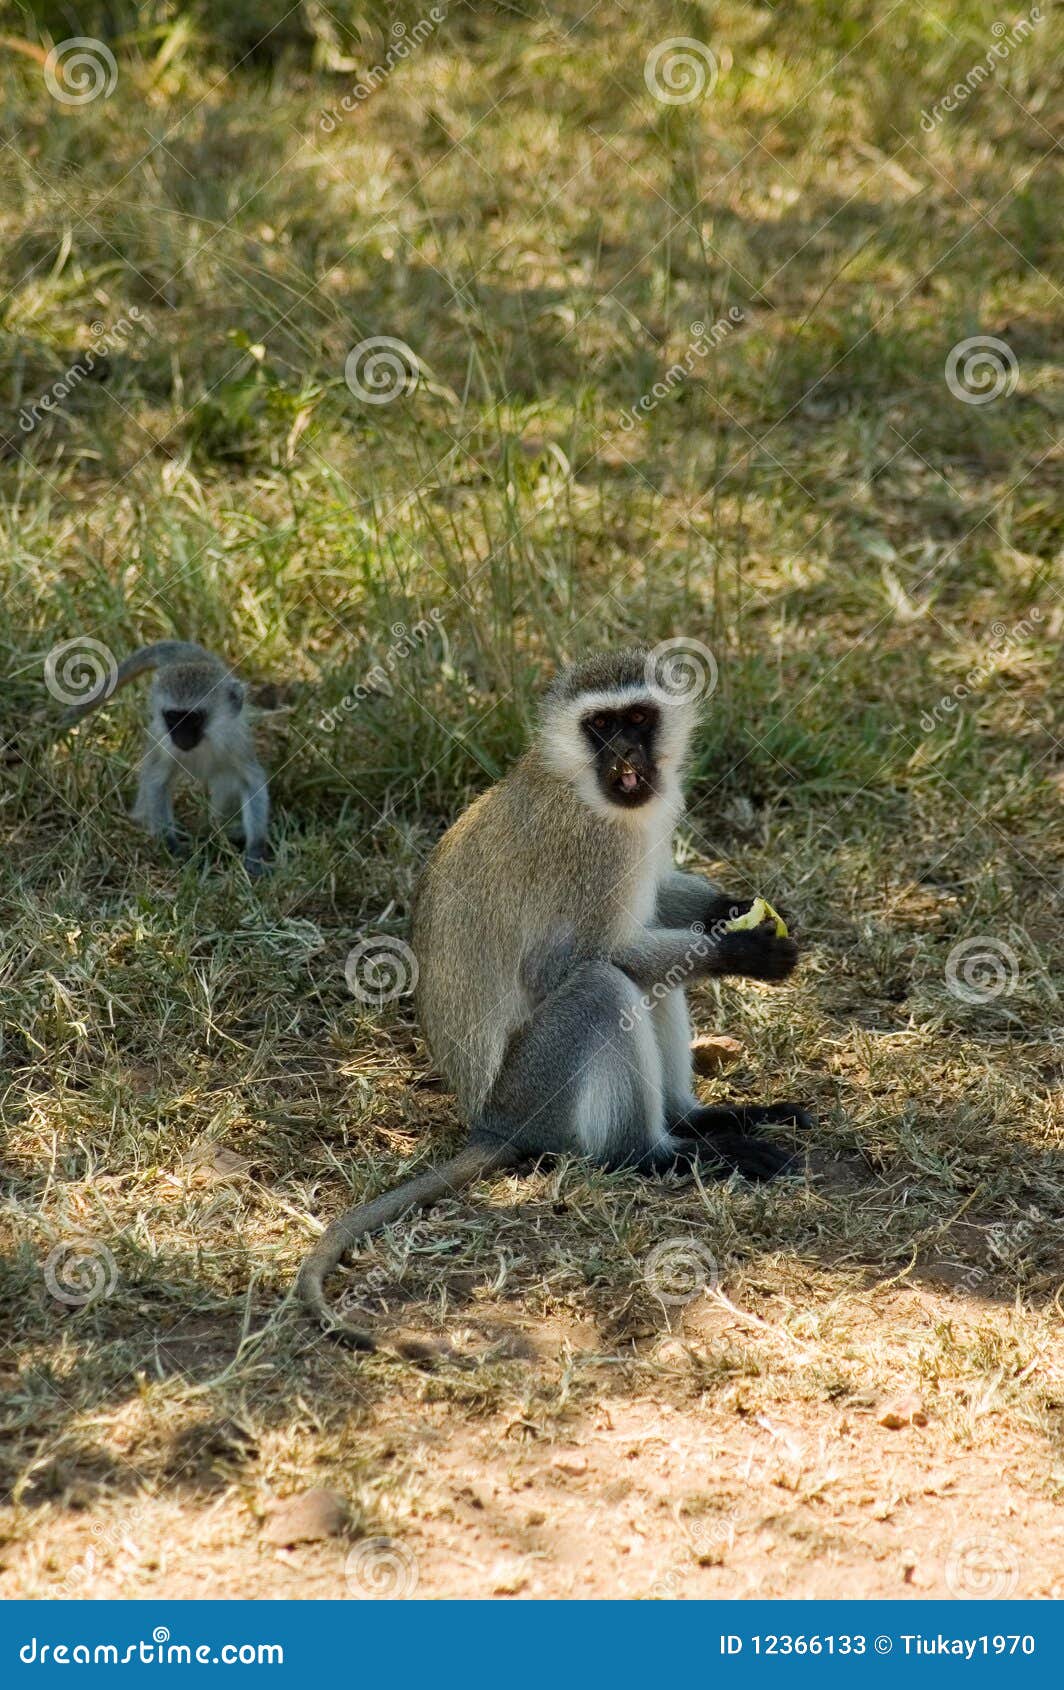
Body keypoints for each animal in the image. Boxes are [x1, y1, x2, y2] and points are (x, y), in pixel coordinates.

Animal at [62, 641, 270, 876]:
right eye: (172, 717)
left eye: (193, 718)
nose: (180, 737)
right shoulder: (164, 742)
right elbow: (156, 782)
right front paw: (171, 846)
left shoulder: (235, 741)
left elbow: (251, 781)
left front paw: (255, 851)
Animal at [298, 646, 809, 1346]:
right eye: (600, 726)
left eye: (638, 718)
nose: (625, 754)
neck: (585, 787)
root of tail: (489, 1121)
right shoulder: (588, 851)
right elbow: (566, 964)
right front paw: (743, 952)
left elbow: (655, 907)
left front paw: (732, 910)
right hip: (536, 1088)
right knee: (603, 984)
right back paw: (659, 1156)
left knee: (648, 983)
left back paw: (695, 1119)